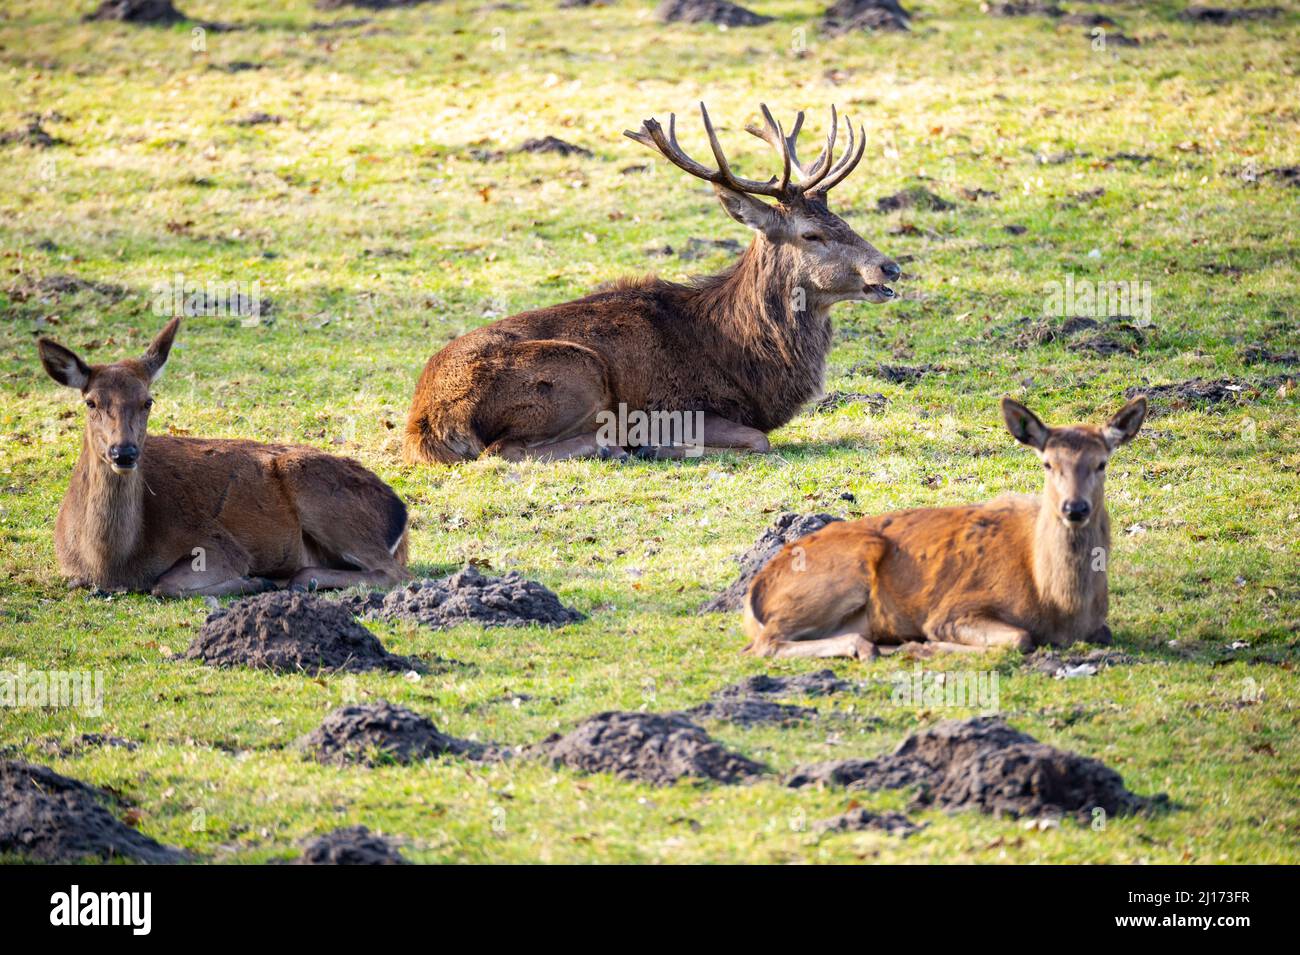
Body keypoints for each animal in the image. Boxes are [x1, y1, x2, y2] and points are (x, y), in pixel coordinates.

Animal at [37, 318, 410, 598]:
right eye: (91, 402)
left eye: (148, 401)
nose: (124, 451)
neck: (111, 563)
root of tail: (400, 513)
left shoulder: (218, 545)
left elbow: (163, 585)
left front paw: (256, 581)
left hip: (322, 497)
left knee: (394, 572)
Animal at [403, 102, 901, 463]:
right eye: (811, 234)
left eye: (843, 220)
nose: (889, 269)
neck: (744, 360)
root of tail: (424, 423)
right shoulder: (679, 407)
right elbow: (759, 439)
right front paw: (660, 445)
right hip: (576, 370)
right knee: (500, 451)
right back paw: (617, 446)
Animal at [741, 396, 1148, 660]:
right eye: (1047, 463)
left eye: (1101, 463)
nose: (1074, 508)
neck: (1057, 603)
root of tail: (755, 593)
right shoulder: (953, 610)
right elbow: (1020, 638)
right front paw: (924, 646)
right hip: (844, 570)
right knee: (764, 644)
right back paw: (870, 647)